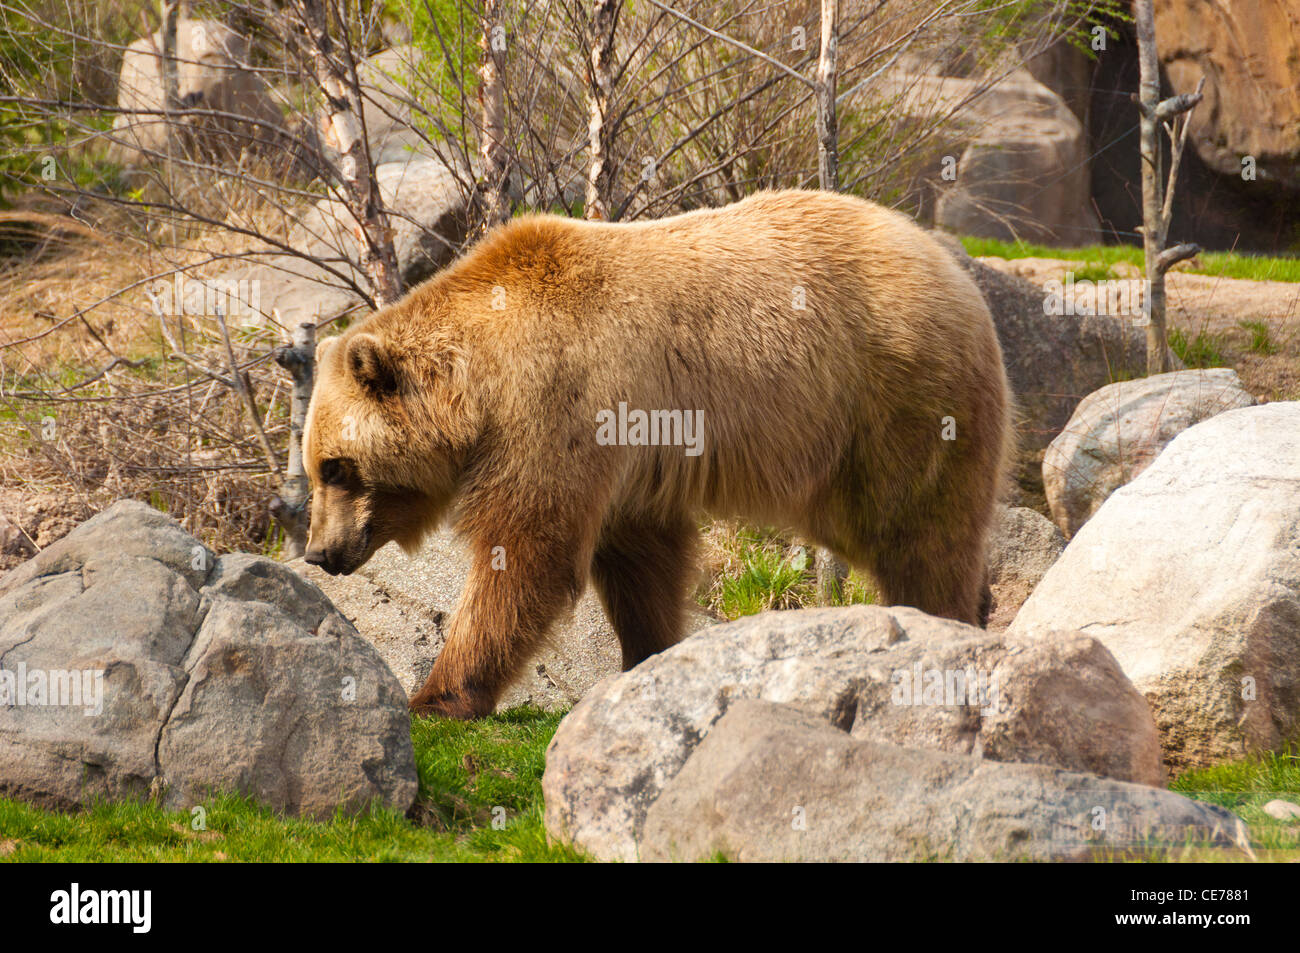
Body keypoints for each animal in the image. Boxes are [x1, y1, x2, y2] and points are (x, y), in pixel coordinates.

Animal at [302, 189, 1012, 719]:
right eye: (311, 468)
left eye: (336, 467)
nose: (319, 553)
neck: (479, 386)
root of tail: (951, 265)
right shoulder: (628, 456)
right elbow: (640, 562)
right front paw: (647, 658)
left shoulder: (555, 405)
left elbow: (527, 550)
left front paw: (438, 695)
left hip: (895, 397)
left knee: (921, 532)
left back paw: (944, 625)